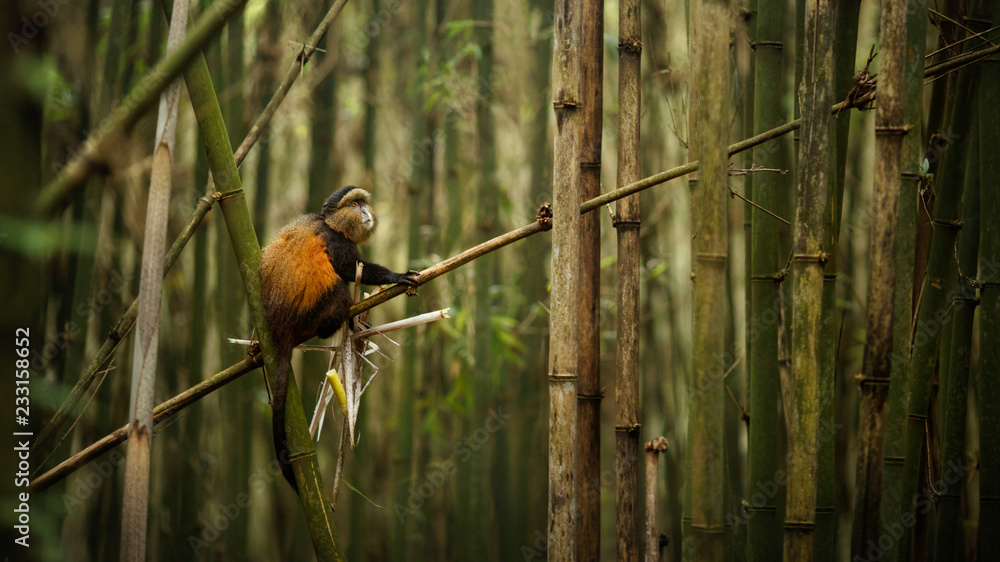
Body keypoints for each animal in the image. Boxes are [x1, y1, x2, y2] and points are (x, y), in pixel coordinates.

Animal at [260, 185, 418, 491]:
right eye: (354, 205)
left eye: (363, 203)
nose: (366, 212)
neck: (329, 223)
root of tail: (280, 329)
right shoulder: (338, 243)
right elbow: (348, 269)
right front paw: (397, 276)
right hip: (315, 313)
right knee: (339, 289)